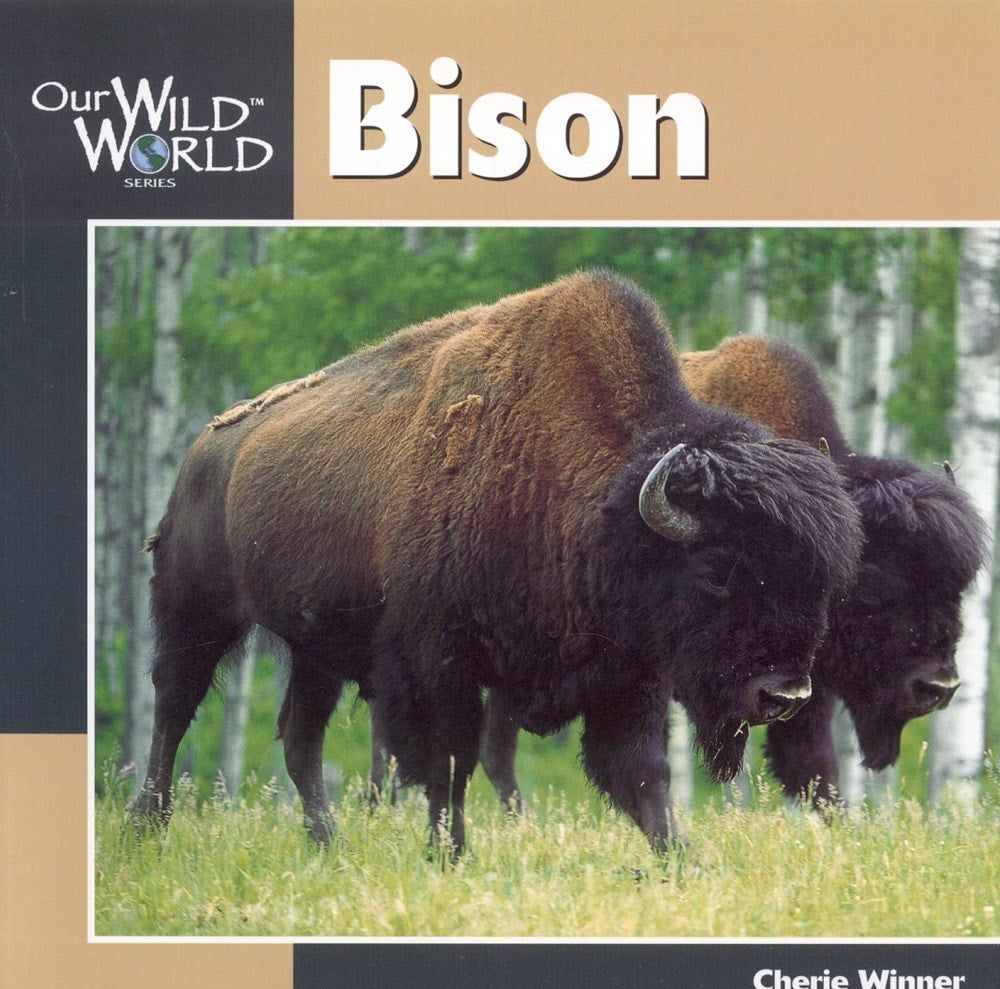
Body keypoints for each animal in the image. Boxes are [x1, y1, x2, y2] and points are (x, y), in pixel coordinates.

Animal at [132, 272, 862, 854]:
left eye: (823, 582)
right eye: (716, 573)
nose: (785, 695)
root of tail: (204, 448)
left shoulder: (626, 681)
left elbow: (643, 776)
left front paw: (681, 862)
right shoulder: (439, 664)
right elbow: (449, 762)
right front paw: (448, 855)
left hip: (316, 648)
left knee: (298, 737)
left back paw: (326, 842)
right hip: (196, 609)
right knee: (174, 702)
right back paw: (148, 824)